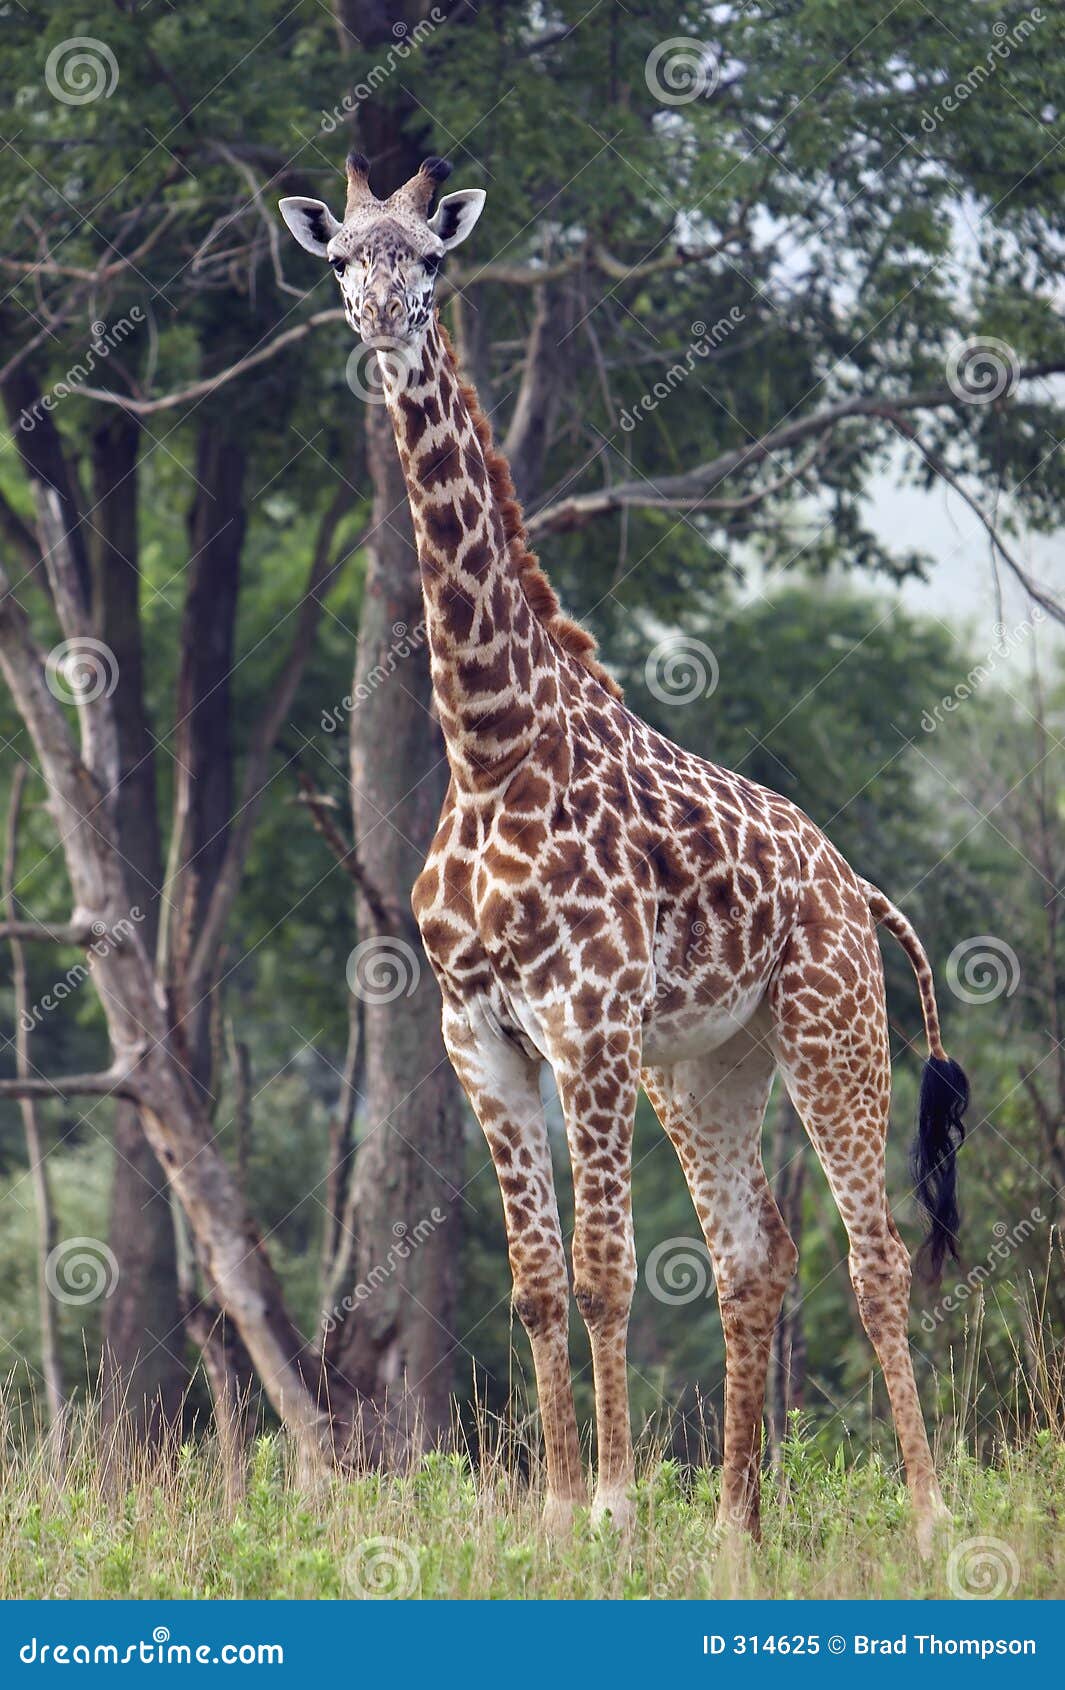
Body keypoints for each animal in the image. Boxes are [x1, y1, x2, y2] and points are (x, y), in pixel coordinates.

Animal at [281, 154, 968, 1554]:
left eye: (429, 259)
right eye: (341, 261)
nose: (383, 326)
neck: (491, 746)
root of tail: (853, 881)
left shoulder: (585, 1021)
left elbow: (603, 1277)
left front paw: (609, 1505)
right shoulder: (476, 1033)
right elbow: (539, 1285)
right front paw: (554, 1512)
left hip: (829, 1027)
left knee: (871, 1255)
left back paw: (927, 1518)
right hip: (706, 1065)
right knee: (757, 1255)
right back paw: (736, 1528)